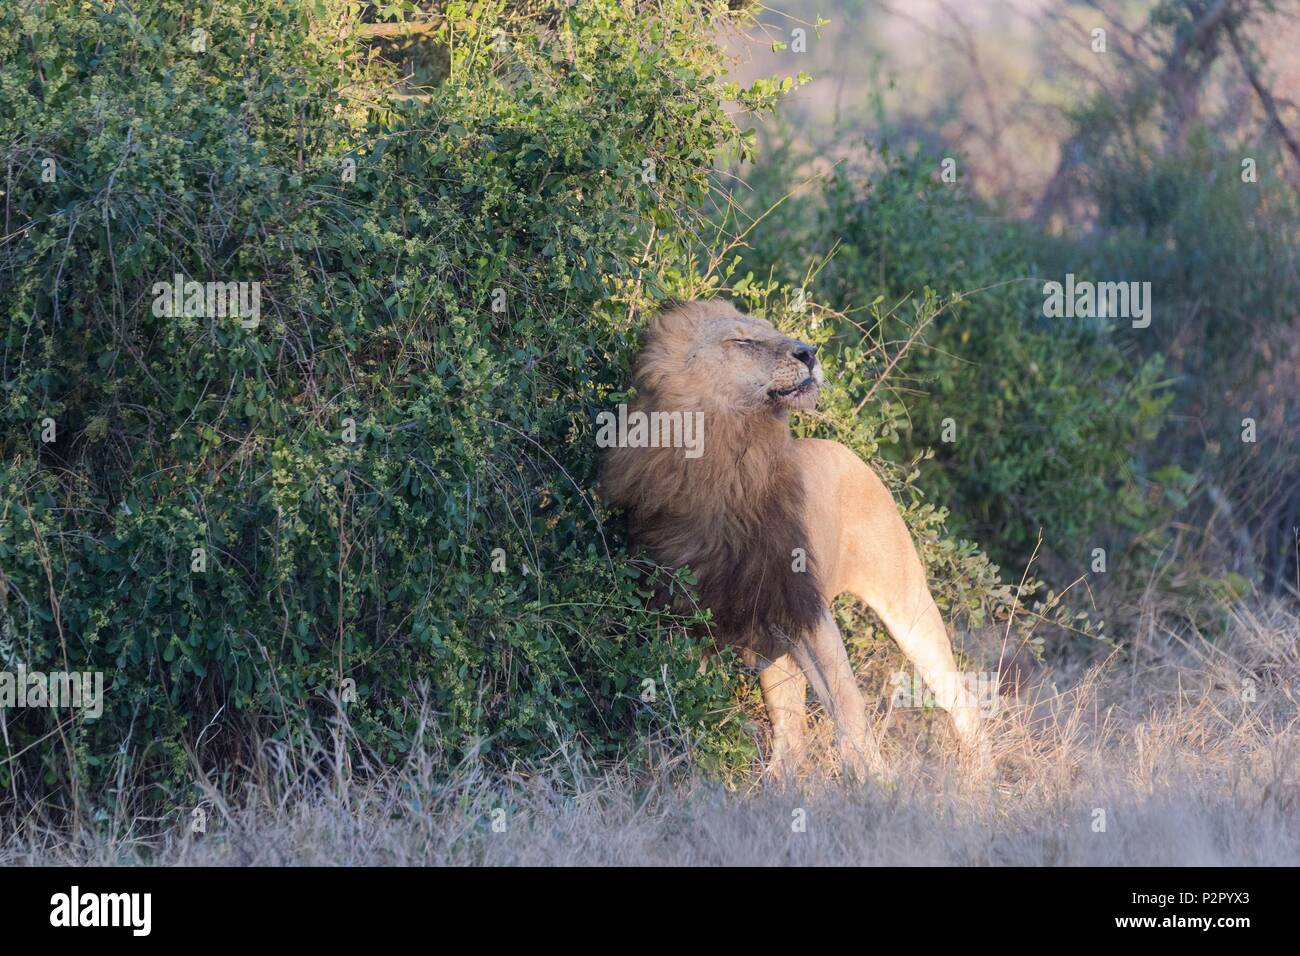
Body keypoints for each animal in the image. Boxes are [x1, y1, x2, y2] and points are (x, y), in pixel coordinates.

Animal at [602, 299, 986, 780]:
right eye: (743, 340)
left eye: (775, 331)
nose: (810, 352)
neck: (726, 456)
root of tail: (849, 452)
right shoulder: (684, 613)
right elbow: (679, 703)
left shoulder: (804, 607)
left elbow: (848, 707)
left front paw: (877, 785)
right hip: (773, 646)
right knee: (791, 739)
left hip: (908, 608)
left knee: (959, 698)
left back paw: (980, 780)